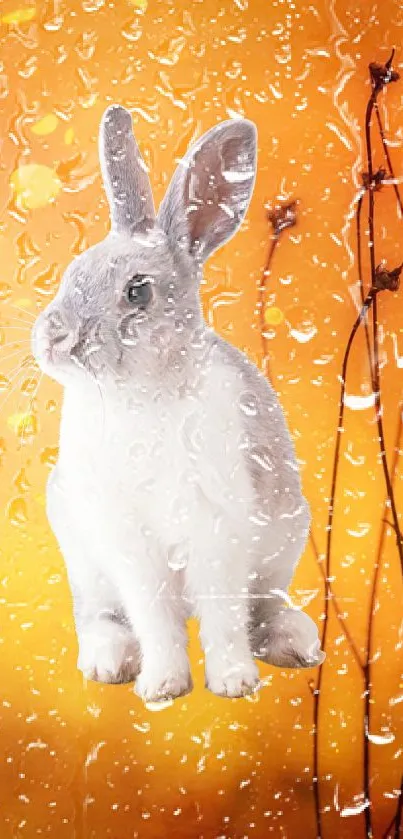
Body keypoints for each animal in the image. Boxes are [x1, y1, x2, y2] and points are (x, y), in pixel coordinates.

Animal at [32, 105, 325, 702]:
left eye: (138, 291)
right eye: (73, 272)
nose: (54, 338)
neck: (143, 393)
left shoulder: (219, 531)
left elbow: (223, 618)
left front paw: (233, 682)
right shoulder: (130, 544)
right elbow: (155, 619)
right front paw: (162, 686)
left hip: (280, 549)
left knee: (260, 611)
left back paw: (296, 643)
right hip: (84, 557)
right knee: (99, 616)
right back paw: (108, 662)